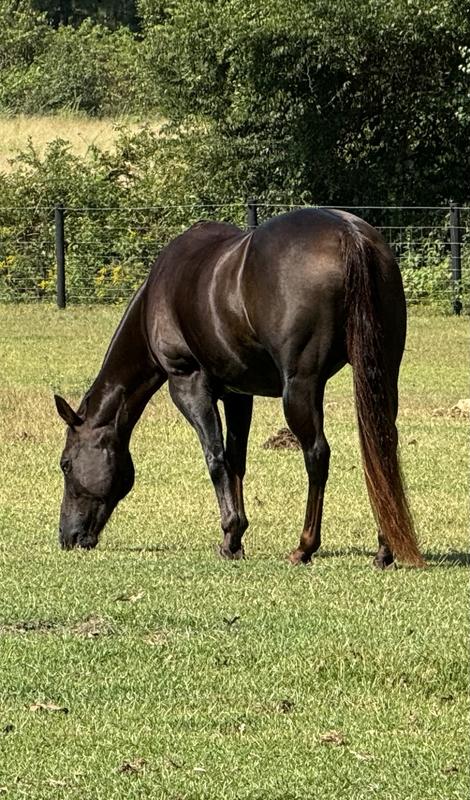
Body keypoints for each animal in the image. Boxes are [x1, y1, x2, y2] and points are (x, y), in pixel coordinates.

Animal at [54, 207, 423, 568]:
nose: (67, 537)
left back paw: (304, 548)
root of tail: (349, 233)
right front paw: (238, 537)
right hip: (381, 375)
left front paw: (230, 537)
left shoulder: (188, 384)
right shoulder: (238, 394)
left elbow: (216, 458)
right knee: (381, 447)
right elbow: (236, 458)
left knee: (317, 454)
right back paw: (385, 548)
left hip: (300, 388)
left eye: (66, 464)